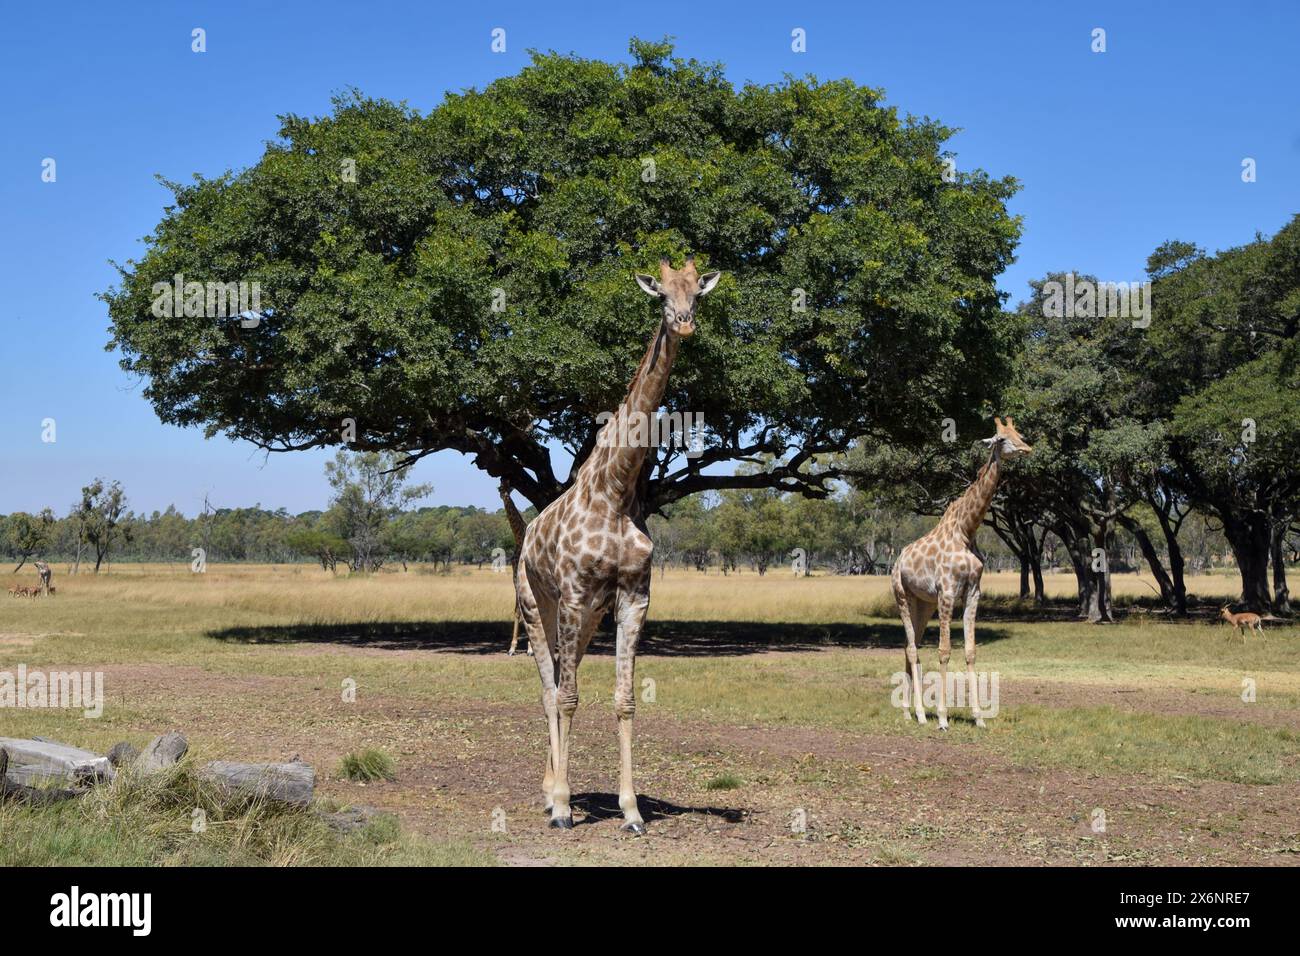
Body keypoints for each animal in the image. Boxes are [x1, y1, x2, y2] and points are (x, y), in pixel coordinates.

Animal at [514, 256, 721, 833]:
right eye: (661, 295)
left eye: (697, 292)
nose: (684, 323)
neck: (618, 488)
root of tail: (525, 536)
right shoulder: (574, 593)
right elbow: (567, 697)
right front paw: (565, 806)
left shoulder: (633, 597)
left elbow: (625, 700)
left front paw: (631, 811)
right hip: (538, 604)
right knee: (549, 688)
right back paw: (551, 797)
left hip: (585, 618)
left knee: (563, 677)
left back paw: (550, 789)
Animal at [891, 417, 1032, 730]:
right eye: (1001, 439)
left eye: (1019, 433)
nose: (1027, 449)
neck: (967, 530)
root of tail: (897, 560)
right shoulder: (947, 591)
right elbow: (944, 651)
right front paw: (943, 718)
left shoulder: (973, 591)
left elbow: (970, 651)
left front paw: (979, 717)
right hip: (902, 596)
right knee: (912, 647)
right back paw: (918, 714)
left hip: (923, 603)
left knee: (910, 645)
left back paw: (911, 712)